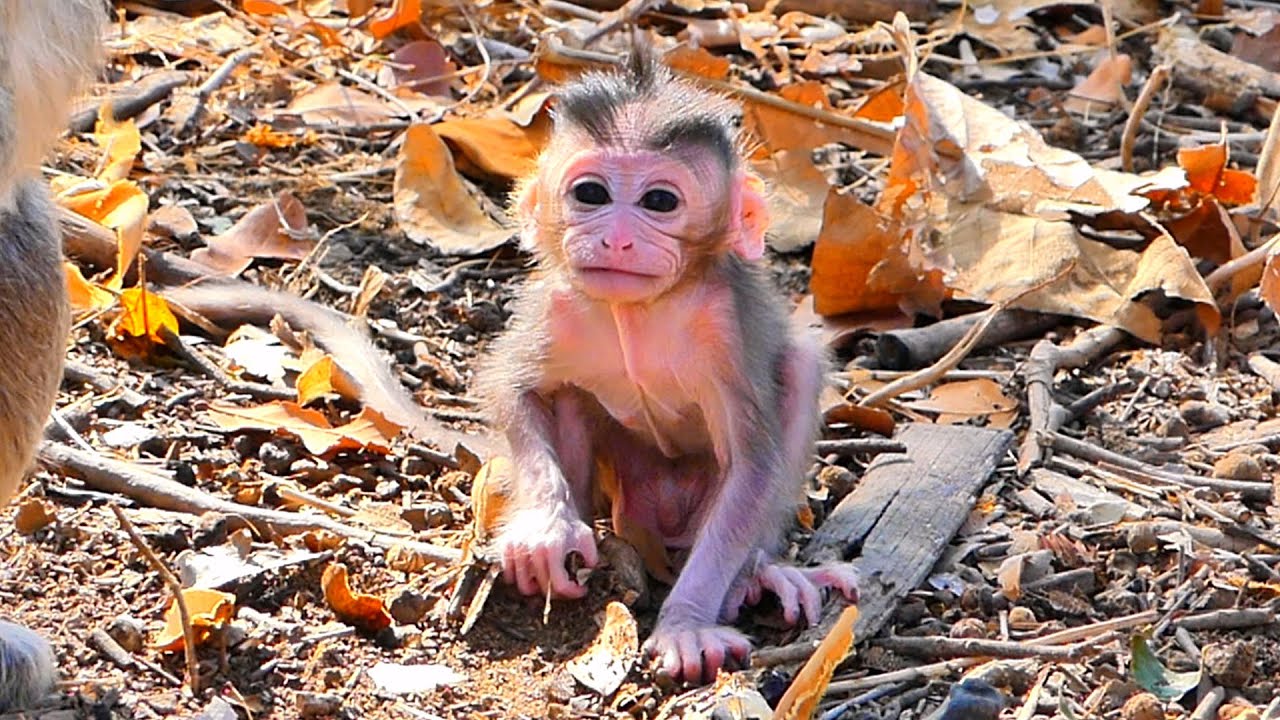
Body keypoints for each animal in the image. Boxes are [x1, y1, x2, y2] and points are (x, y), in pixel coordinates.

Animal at [477, 49, 859, 683]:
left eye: (659, 202)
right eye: (590, 194)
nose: (617, 240)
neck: (641, 312)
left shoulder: (724, 327)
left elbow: (751, 467)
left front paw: (687, 626)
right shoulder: (557, 305)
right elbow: (517, 390)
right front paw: (545, 527)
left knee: (801, 366)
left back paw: (761, 574)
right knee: (571, 395)